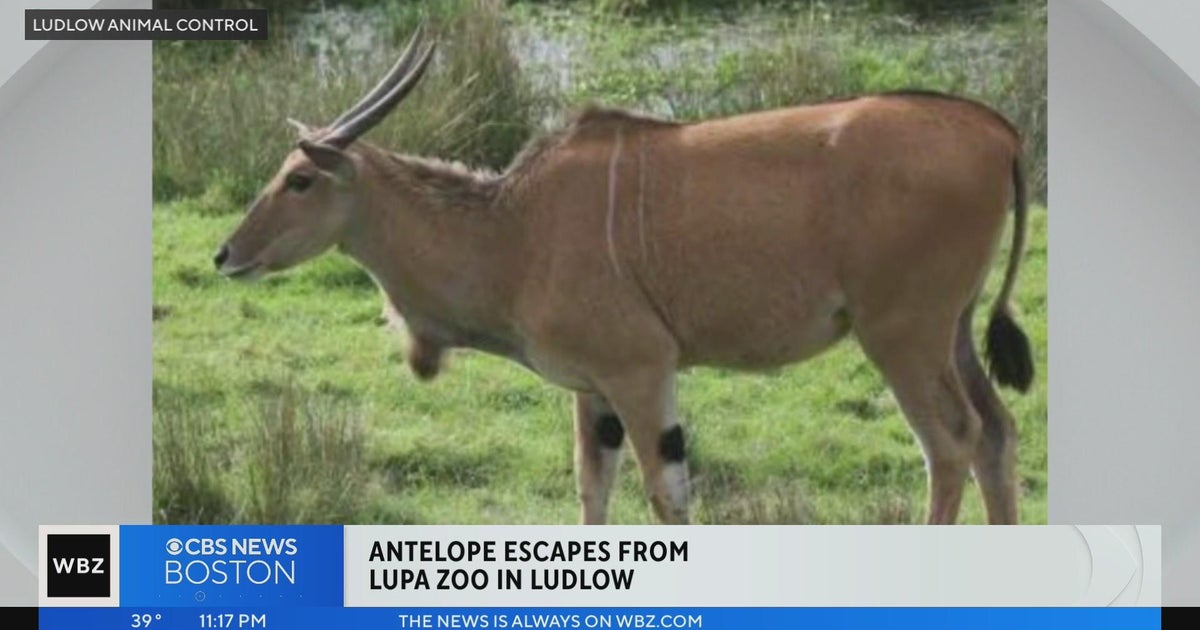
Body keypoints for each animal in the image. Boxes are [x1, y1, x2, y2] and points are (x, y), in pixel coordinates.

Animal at [214, 26, 1034, 525]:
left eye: (299, 180)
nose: (225, 254)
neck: (514, 231)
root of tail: (998, 133)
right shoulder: (594, 390)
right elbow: (592, 489)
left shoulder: (642, 371)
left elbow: (666, 495)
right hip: (952, 330)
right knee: (995, 432)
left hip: (902, 333)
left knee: (951, 443)